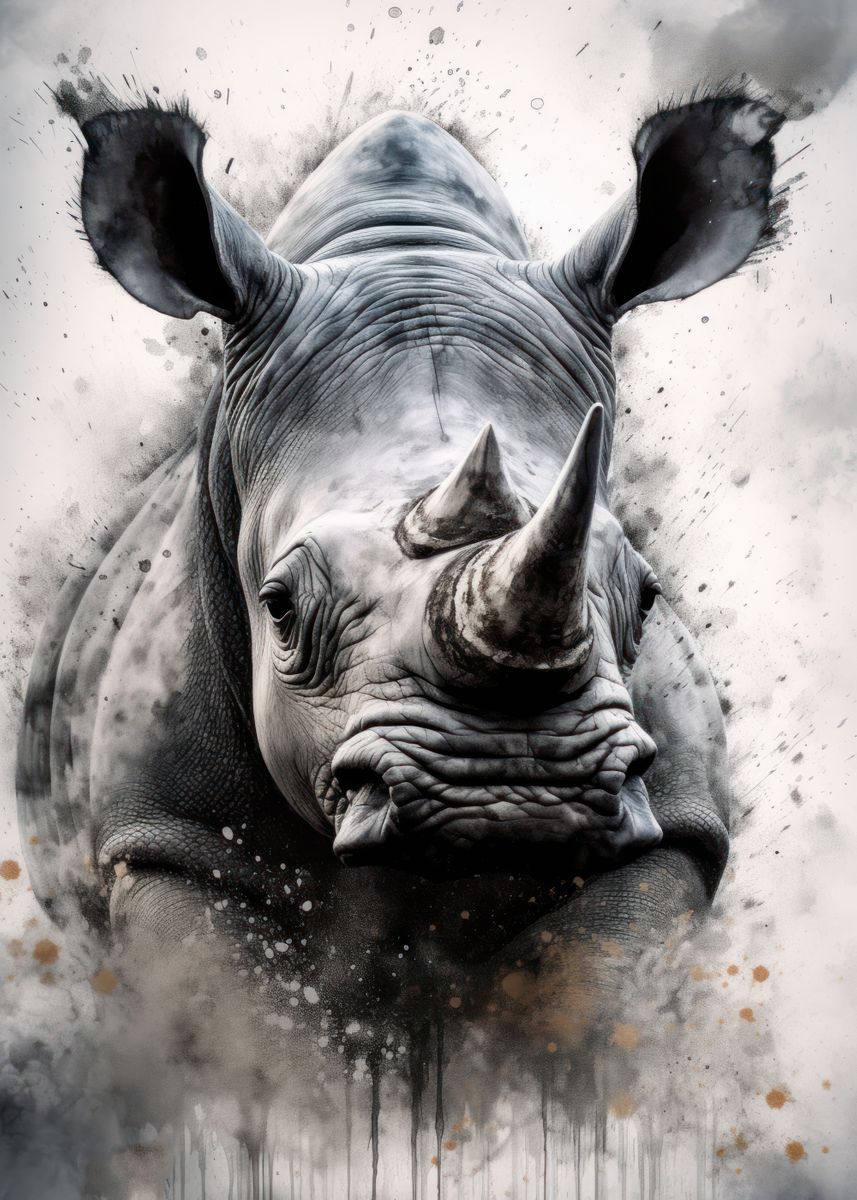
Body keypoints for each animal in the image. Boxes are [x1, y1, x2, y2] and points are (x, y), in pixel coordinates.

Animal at [18, 96, 782, 989]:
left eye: (648, 595)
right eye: (278, 608)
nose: (510, 794)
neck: (407, 243)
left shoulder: (671, 833)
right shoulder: (169, 842)